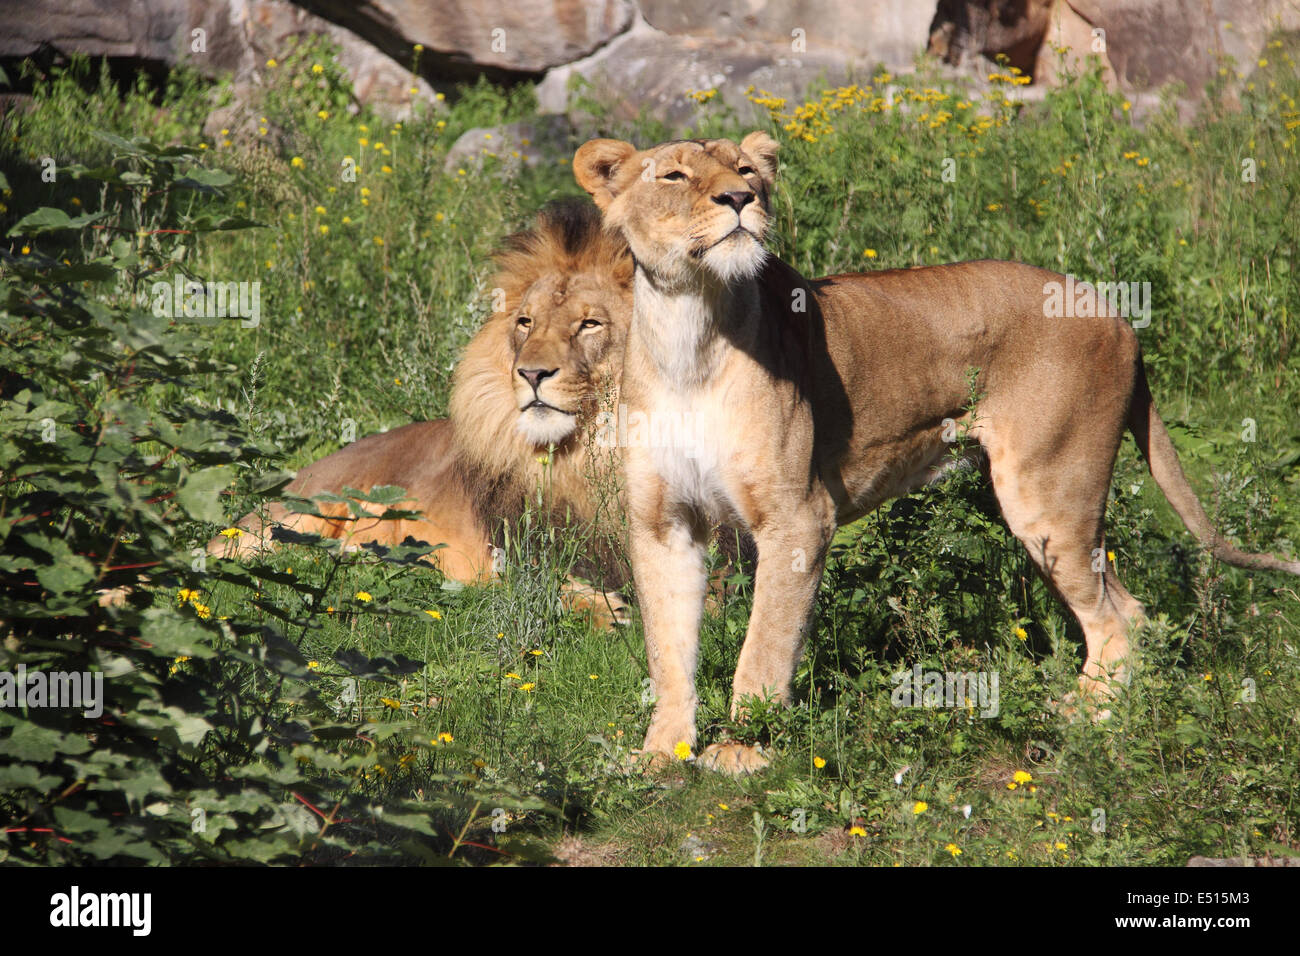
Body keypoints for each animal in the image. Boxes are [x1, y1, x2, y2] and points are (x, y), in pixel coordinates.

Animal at [210, 199, 634, 626]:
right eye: (525, 323)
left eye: (590, 324)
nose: (531, 373)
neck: (580, 459)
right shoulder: (508, 556)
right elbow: (551, 585)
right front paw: (606, 610)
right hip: (303, 514)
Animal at [574, 131, 1300, 773]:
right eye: (674, 176)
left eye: (747, 170)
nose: (738, 198)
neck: (689, 332)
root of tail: (1114, 308)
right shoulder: (663, 523)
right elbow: (669, 651)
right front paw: (660, 754)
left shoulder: (797, 519)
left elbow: (763, 649)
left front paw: (743, 751)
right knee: (1128, 612)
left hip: (1049, 494)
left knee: (1121, 618)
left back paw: (1086, 723)